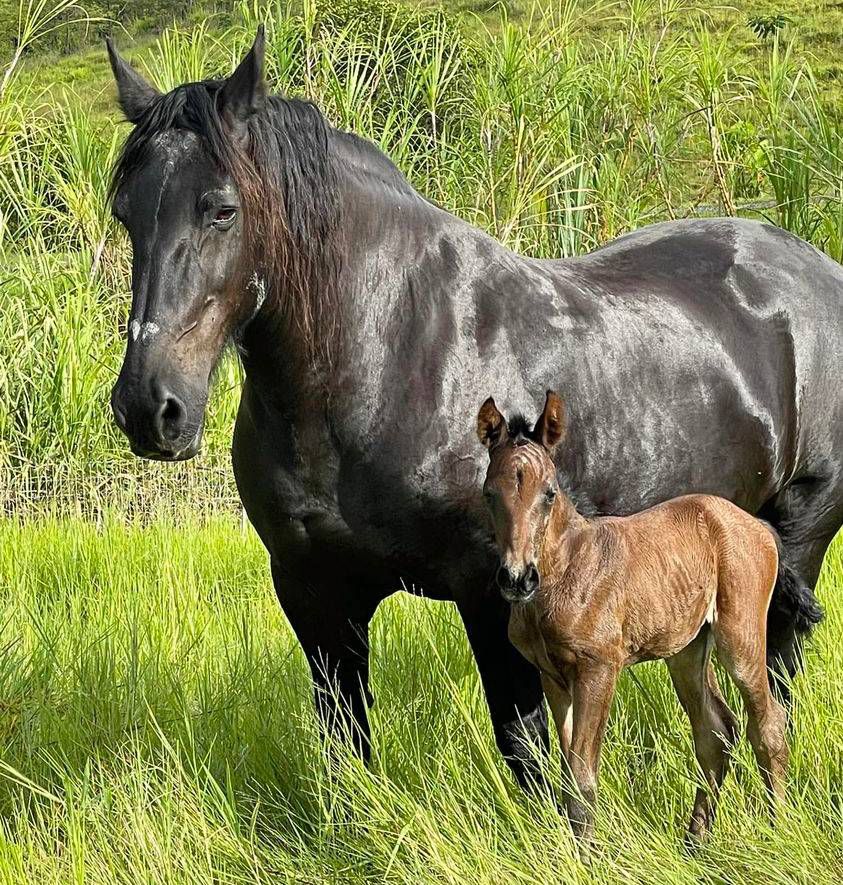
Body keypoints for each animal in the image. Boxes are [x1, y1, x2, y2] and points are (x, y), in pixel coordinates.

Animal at [105, 28, 839, 789]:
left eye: (221, 209)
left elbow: (527, 748)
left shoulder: (494, 593)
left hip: (797, 537)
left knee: (774, 677)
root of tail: (814, 270)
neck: (385, 355)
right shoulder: (314, 594)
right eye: (125, 211)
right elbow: (346, 748)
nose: (149, 407)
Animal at [477, 391, 790, 846]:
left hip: (740, 634)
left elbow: (584, 775)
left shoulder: (599, 667)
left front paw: (587, 855)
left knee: (767, 724)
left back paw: (778, 829)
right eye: (489, 494)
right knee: (715, 731)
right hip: (687, 649)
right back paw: (695, 842)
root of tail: (760, 528)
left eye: (550, 493)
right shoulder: (552, 675)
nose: (517, 578)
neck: (566, 567)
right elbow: (568, 772)